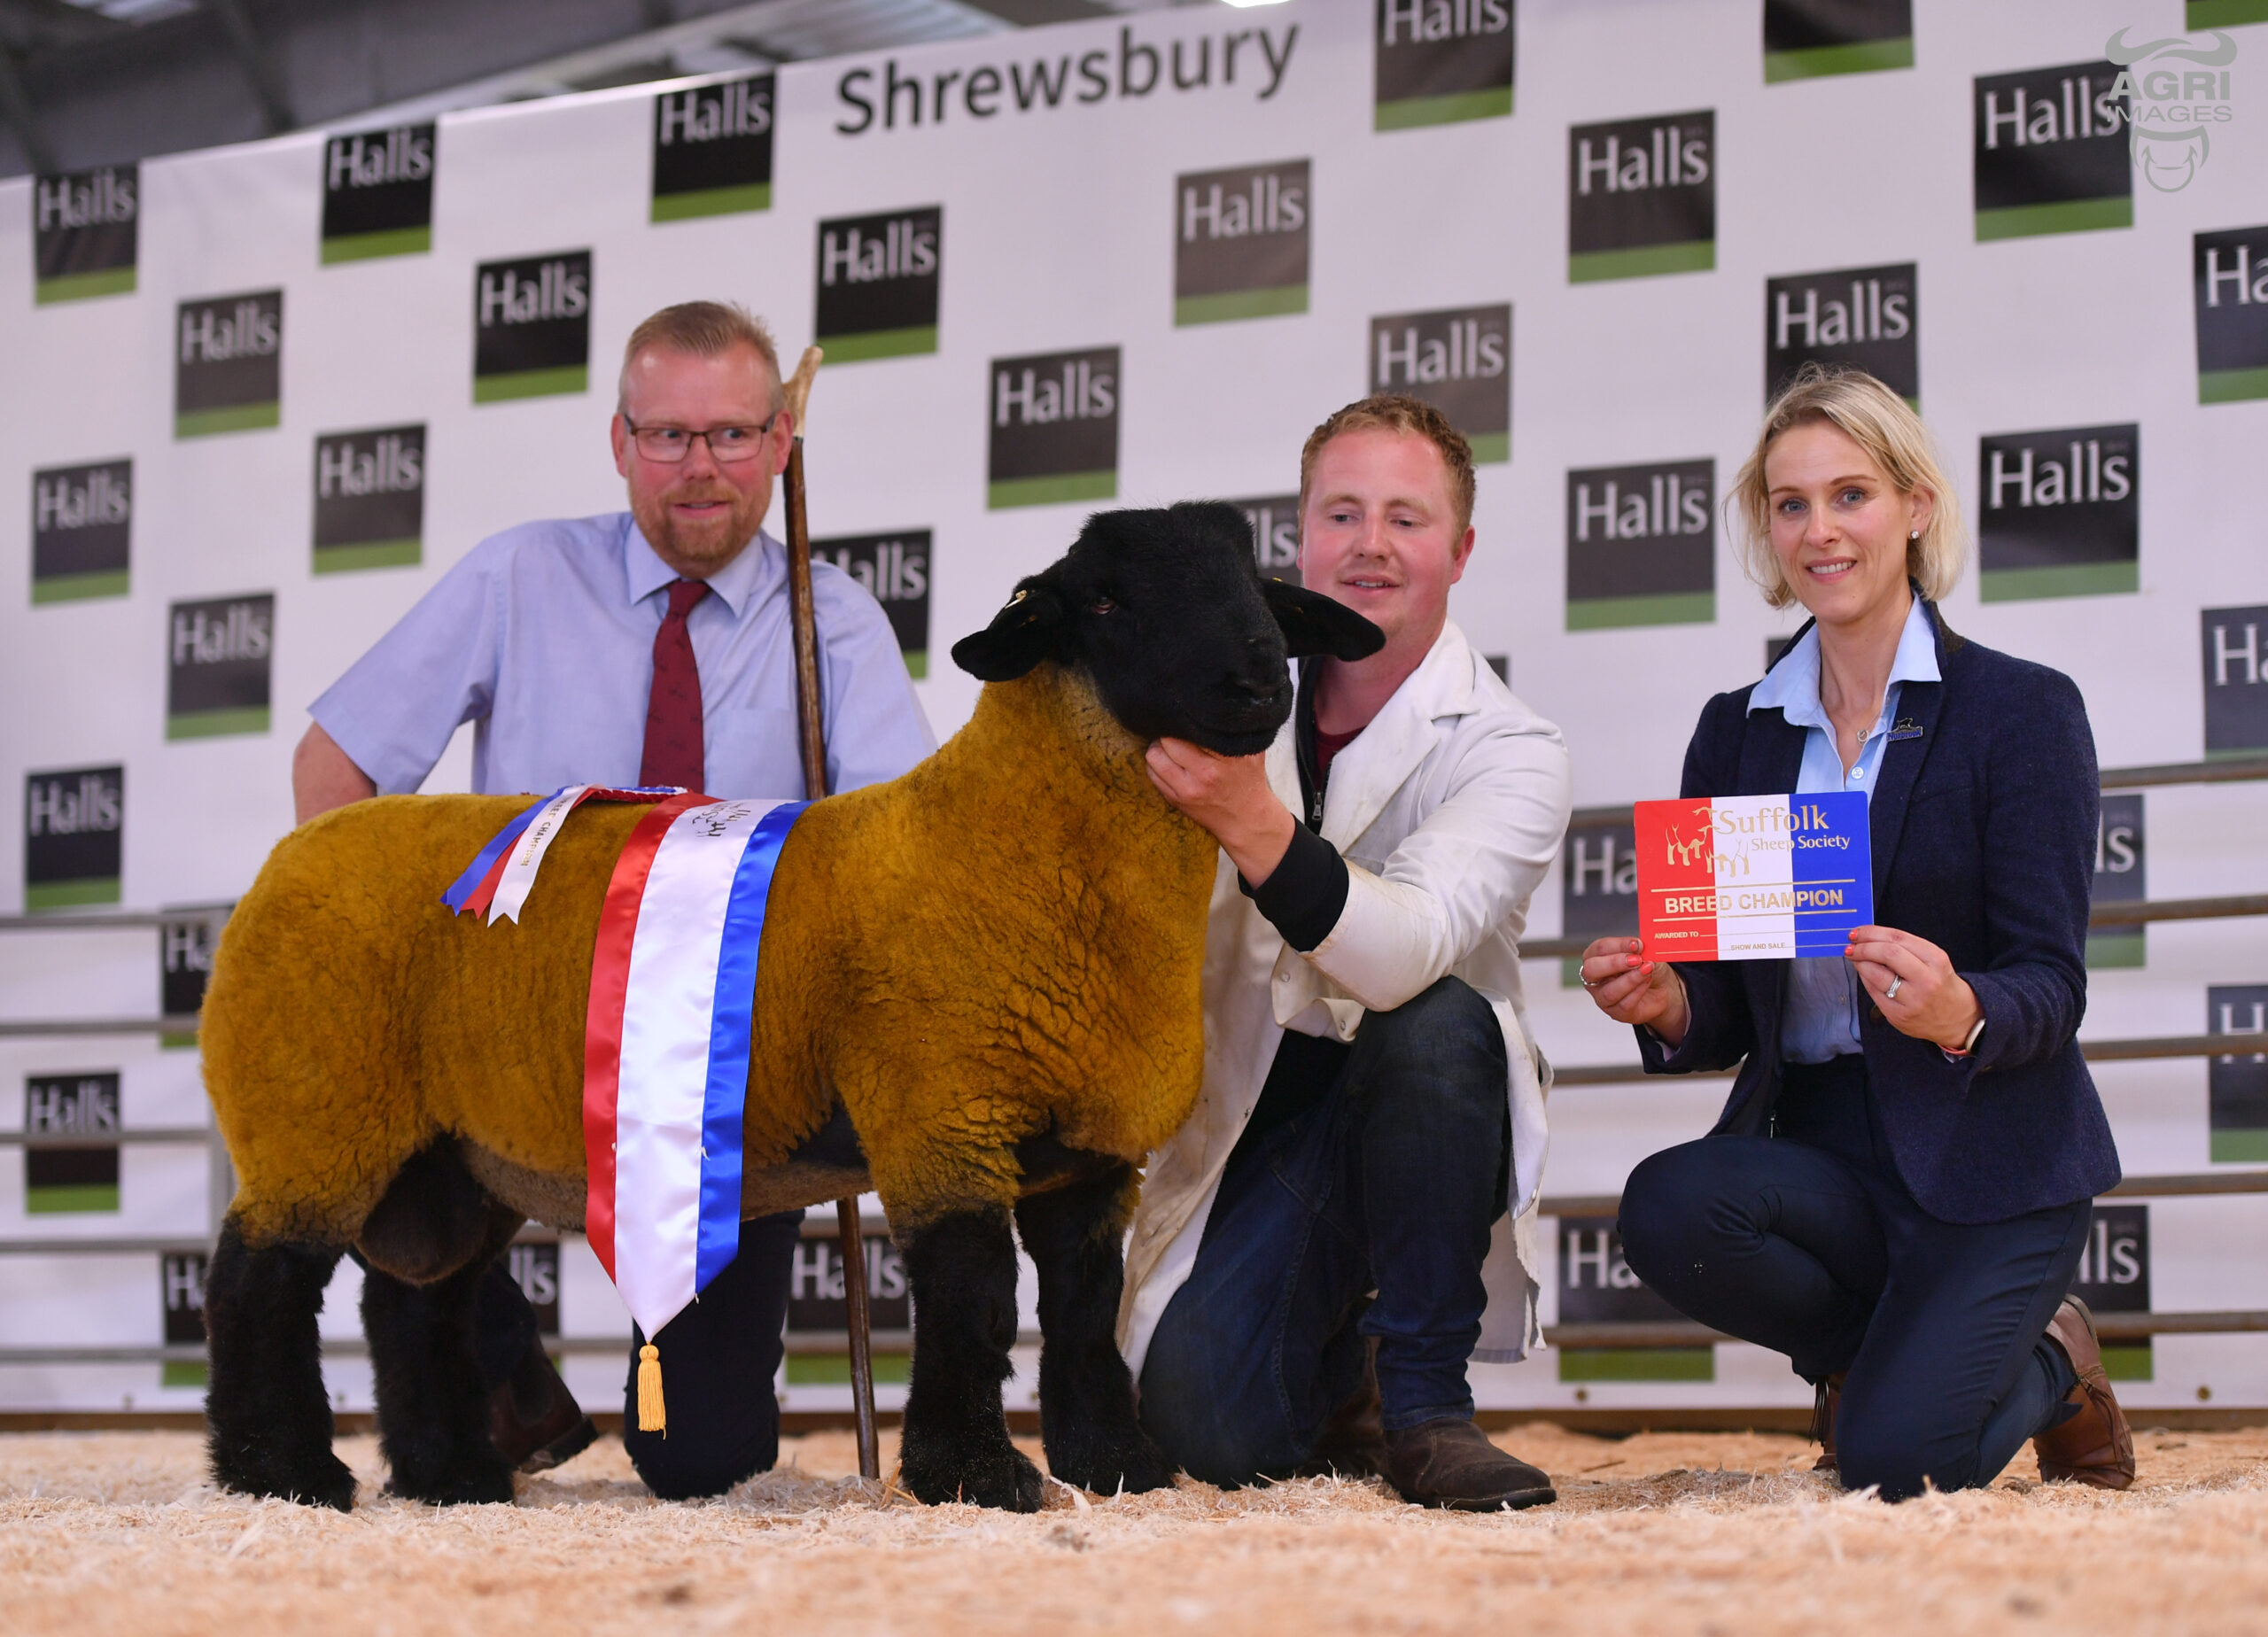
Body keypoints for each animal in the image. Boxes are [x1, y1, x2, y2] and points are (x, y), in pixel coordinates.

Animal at [198, 501, 1382, 1514]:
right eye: (1101, 603)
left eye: (1259, 589)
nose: (1253, 687)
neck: (1011, 840)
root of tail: (286, 858)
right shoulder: (942, 1115)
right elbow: (976, 1300)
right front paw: (975, 1474)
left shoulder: (1086, 1153)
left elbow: (1083, 1312)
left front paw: (1113, 1463)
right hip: (312, 1109)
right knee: (260, 1283)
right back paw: (283, 1472)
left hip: (442, 1154)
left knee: (414, 1301)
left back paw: (449, 1476)